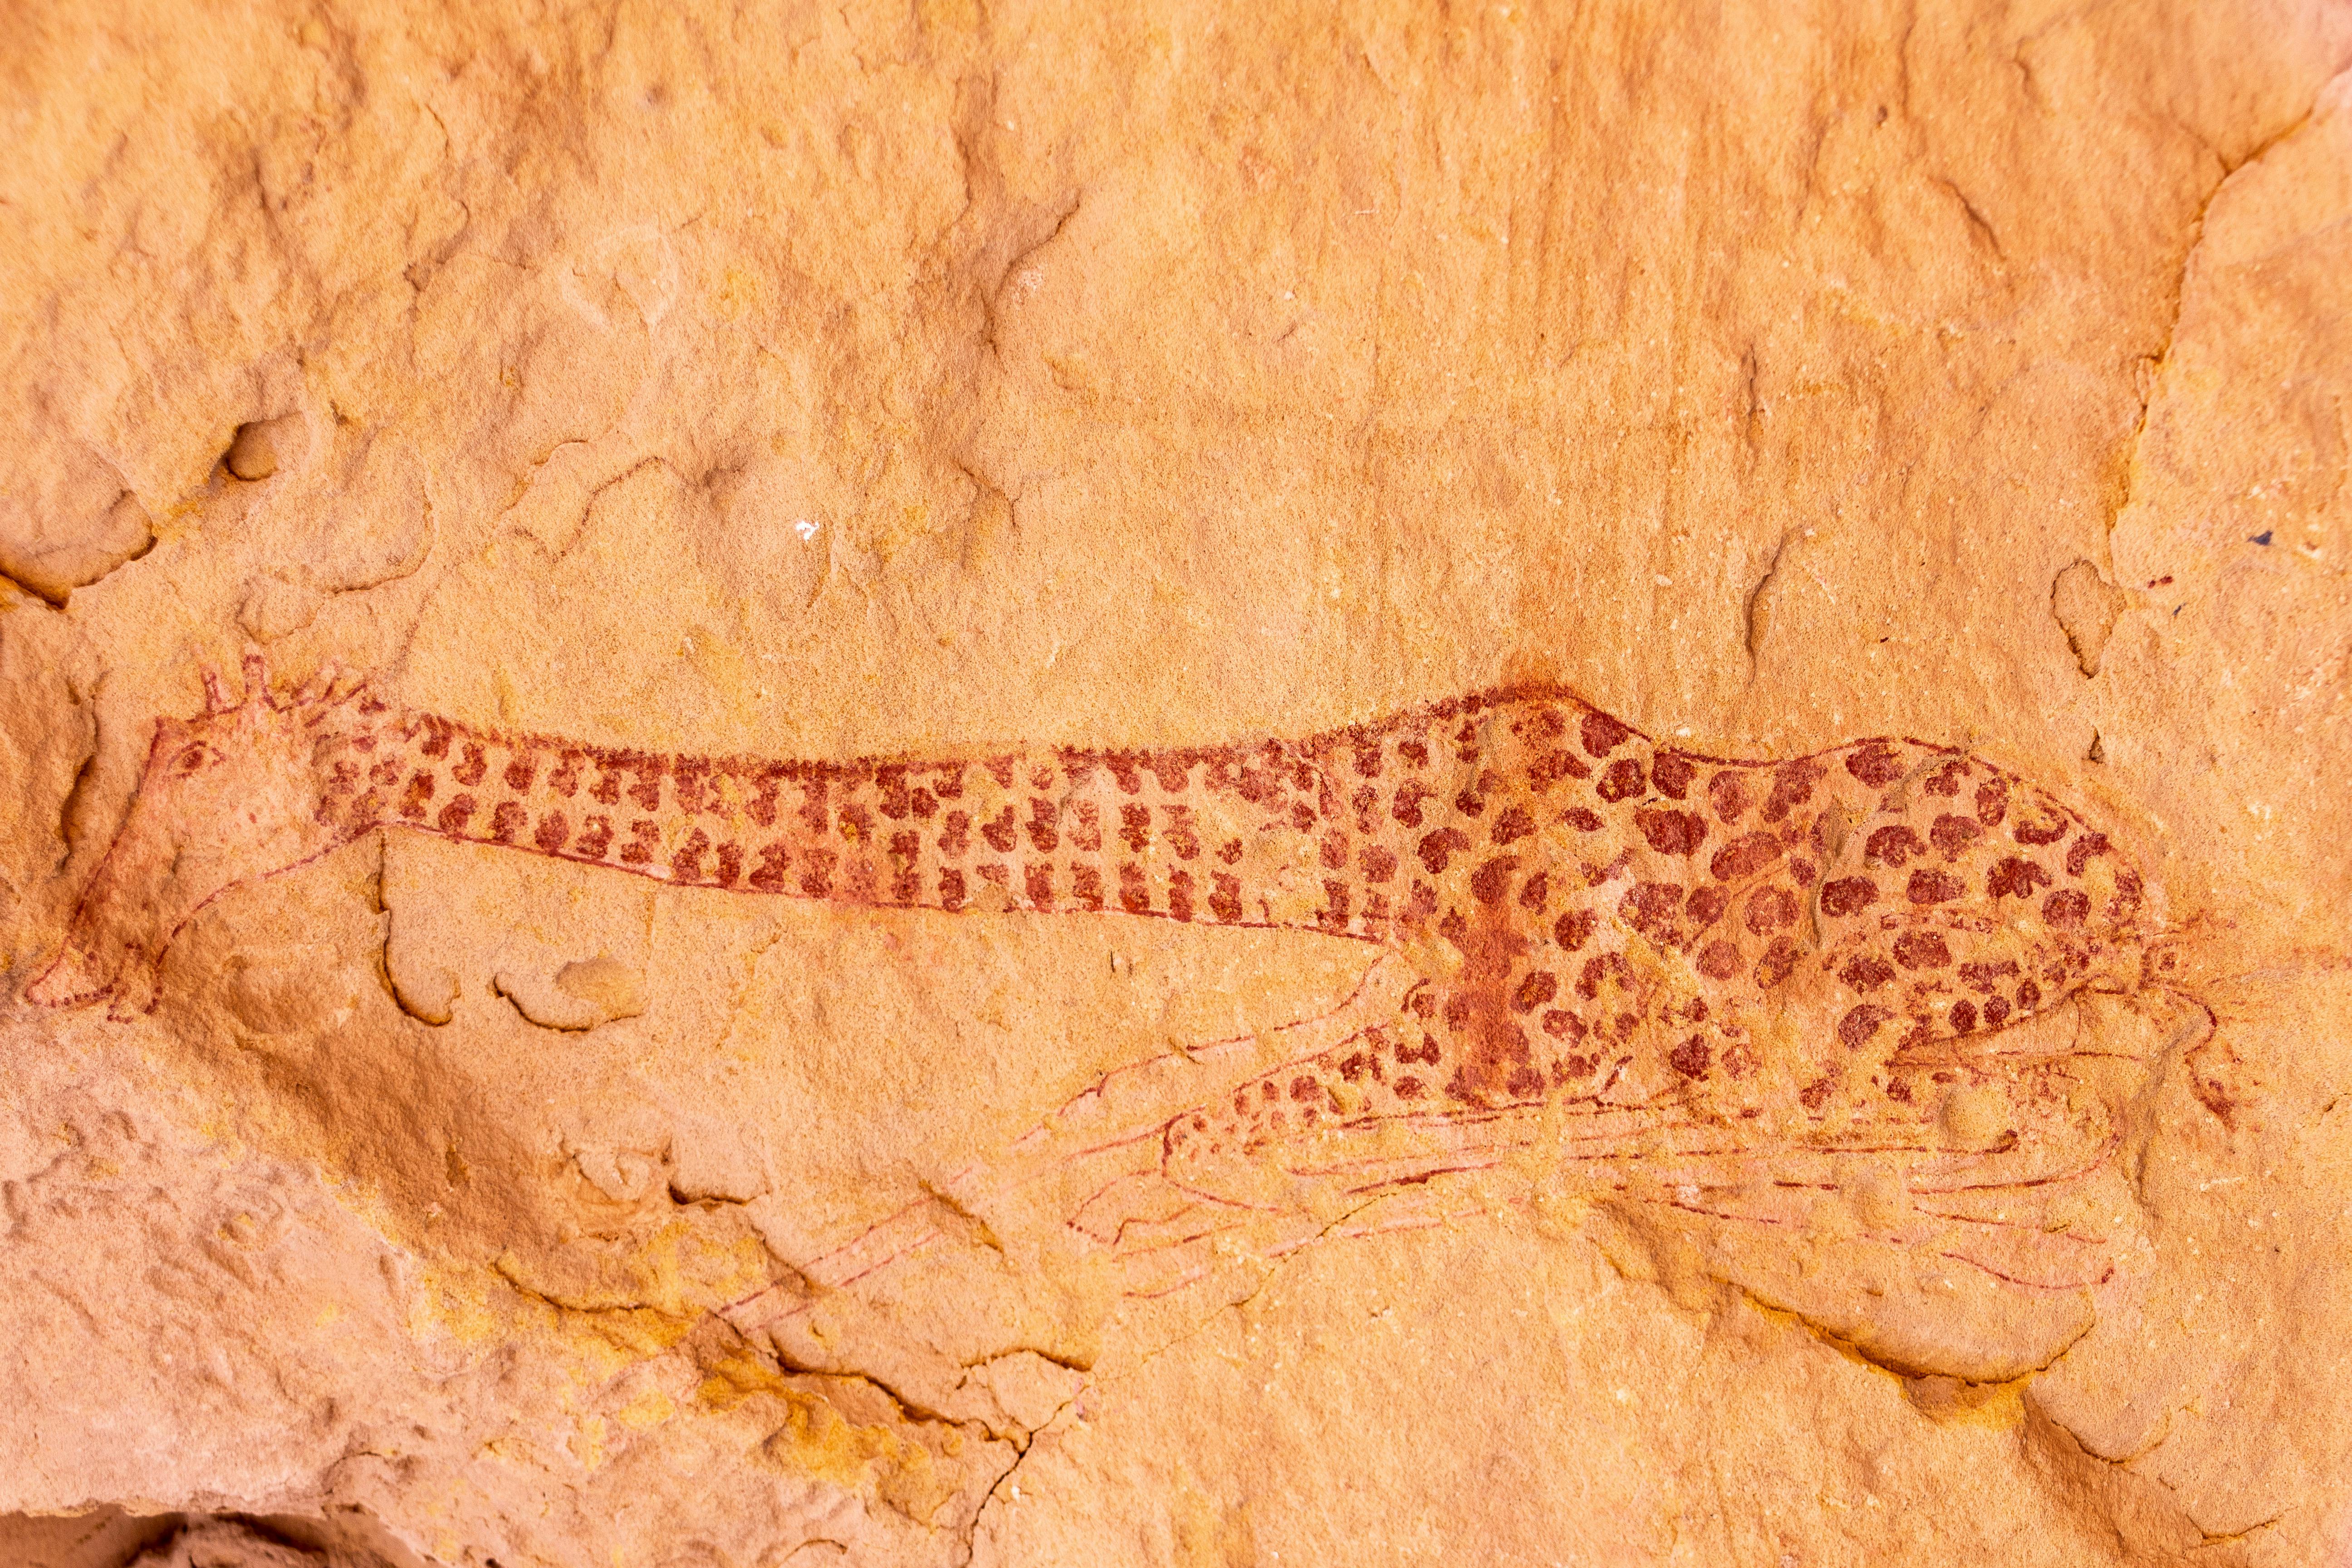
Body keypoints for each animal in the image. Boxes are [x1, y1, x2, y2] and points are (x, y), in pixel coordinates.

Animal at [25, 656, 2201, 1325]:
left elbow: (1149, 1172)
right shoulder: (1371, 1041)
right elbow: (1116, 1138)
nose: (72, 943)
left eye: (195, 766)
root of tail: (2145, 895)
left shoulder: (1470, 1066)